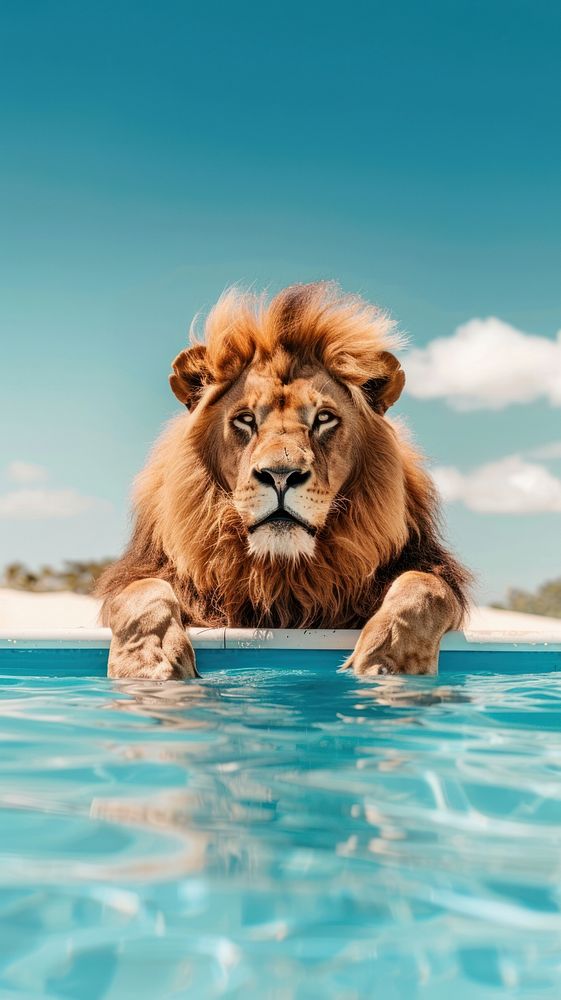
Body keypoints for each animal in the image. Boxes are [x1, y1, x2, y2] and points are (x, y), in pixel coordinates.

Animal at [97, 282, 470, 680]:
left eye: (324, 418)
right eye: (246, 419)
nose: (280, 475)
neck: (282, 573)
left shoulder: (428, 568)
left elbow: (425, 586)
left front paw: (389, 657)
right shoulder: (147, 572)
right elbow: (142, 591)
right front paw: (148, 661)